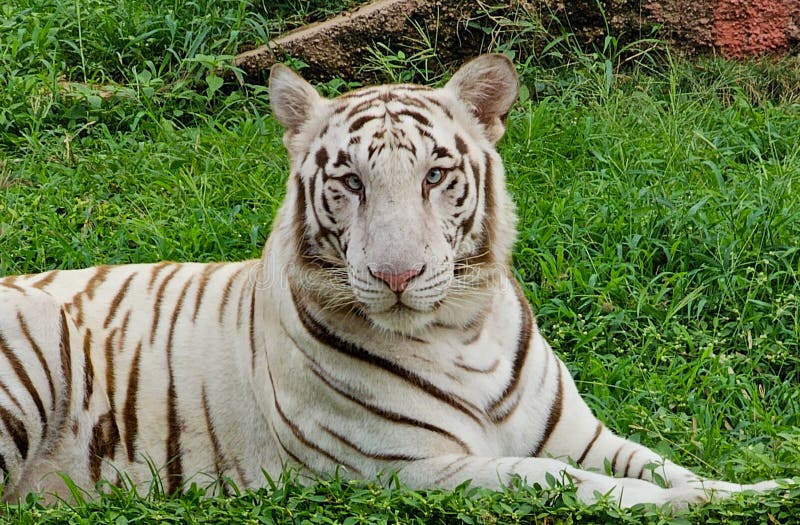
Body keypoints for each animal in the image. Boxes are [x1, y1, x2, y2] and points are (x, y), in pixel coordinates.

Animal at [0, 54, 784, 508]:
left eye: (435, 174)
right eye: (350, 181)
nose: (397, 274)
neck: (461, 331)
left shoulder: (577, 433)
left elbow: (660, 465)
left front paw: (757, 489)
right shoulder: (415, 467)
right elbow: (583, 487)